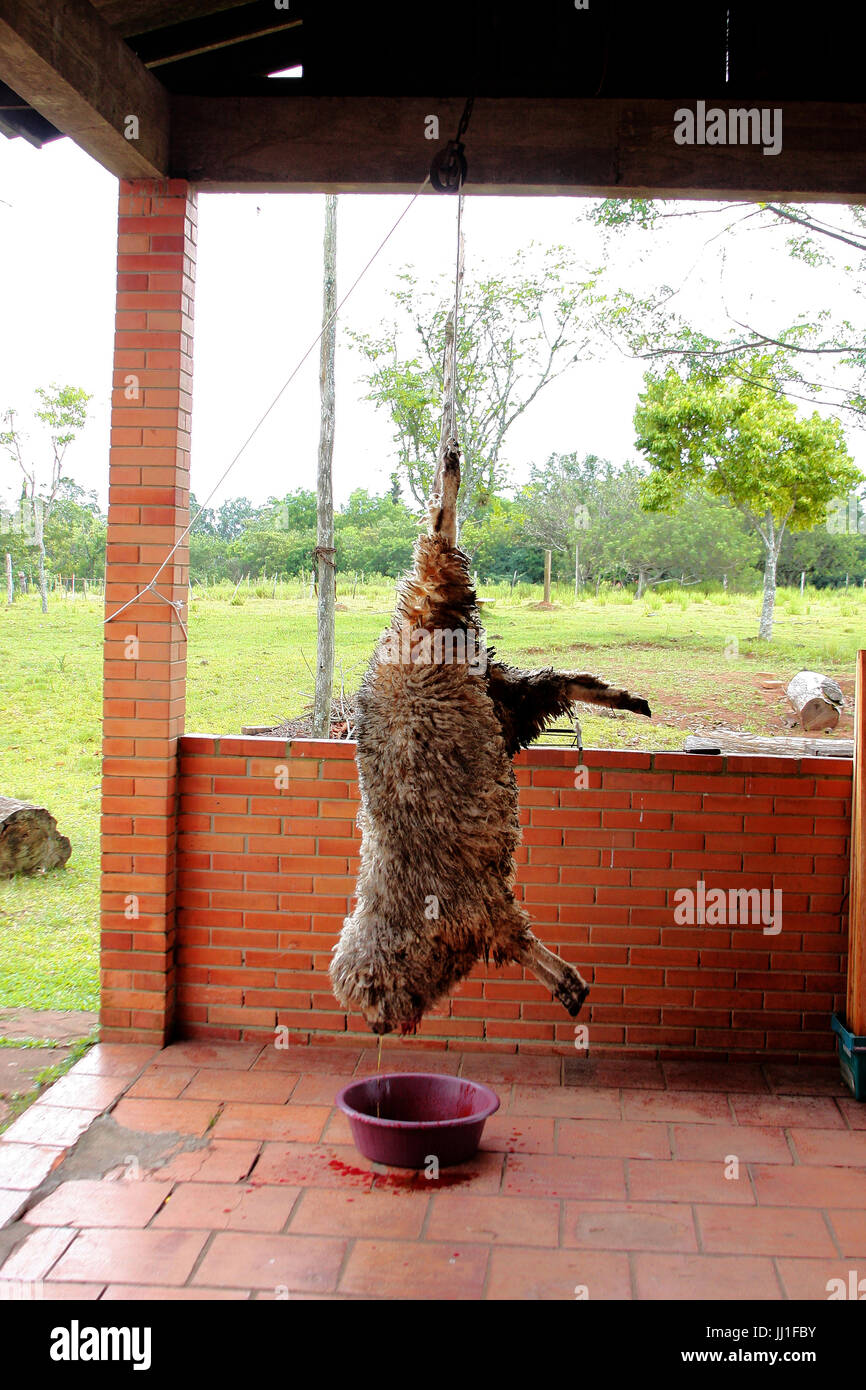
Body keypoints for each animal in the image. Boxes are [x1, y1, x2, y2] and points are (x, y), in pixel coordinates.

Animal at [330, 446, 651, 1035]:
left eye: (368, 999)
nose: (377, 1027)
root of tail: (399, 627)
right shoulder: (483, 909)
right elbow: (521, 943)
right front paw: (568, 983)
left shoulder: (478, 906)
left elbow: (522, 943)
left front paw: (563, 978)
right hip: (494, 697)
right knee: (555, 685)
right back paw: (623, 697)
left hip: (439, 602)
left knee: (437, 533)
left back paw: (449, 470)